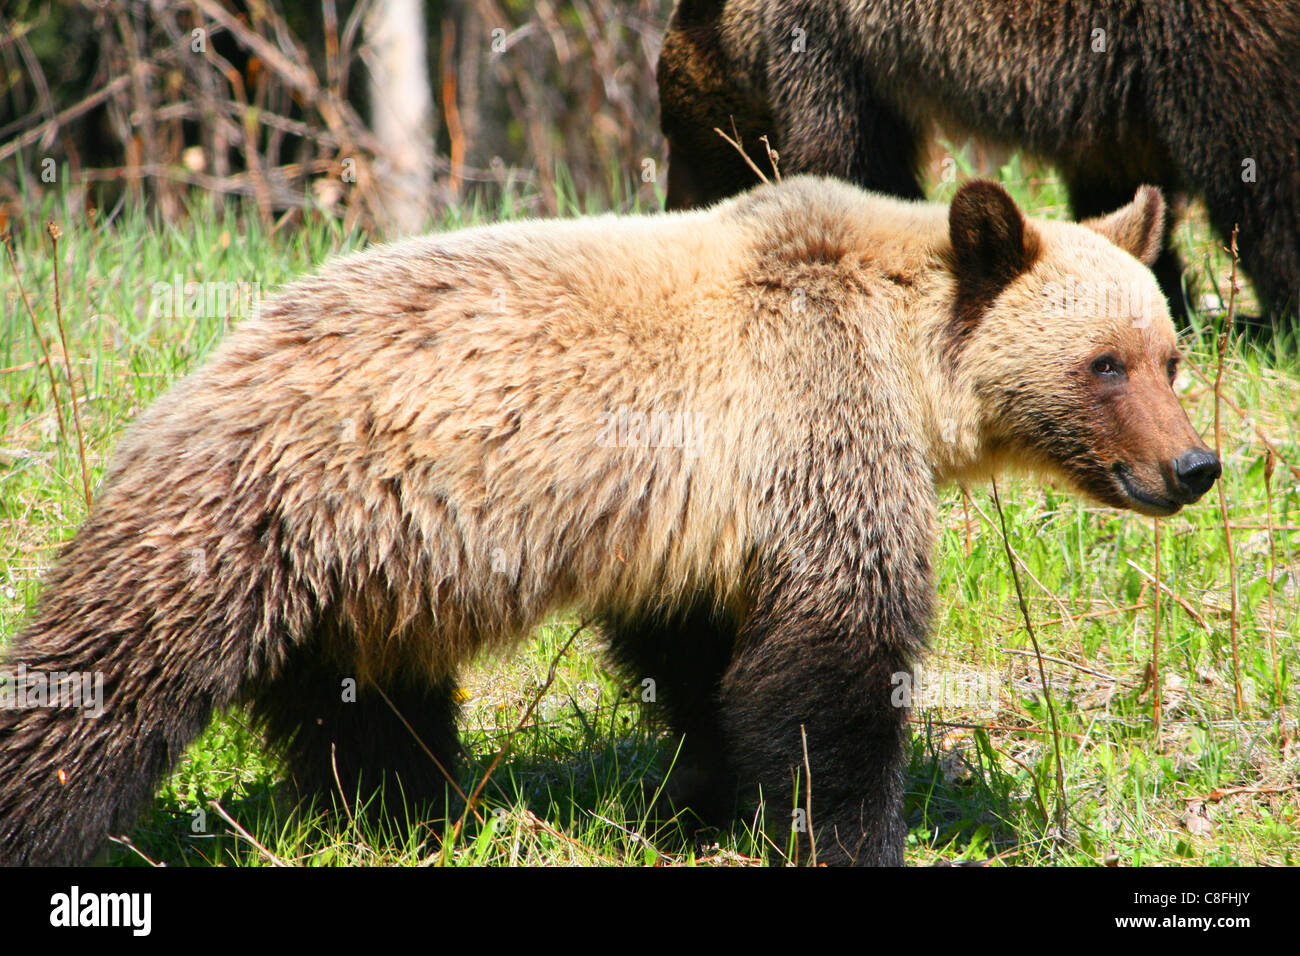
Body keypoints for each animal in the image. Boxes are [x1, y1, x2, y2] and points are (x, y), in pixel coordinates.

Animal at [0, 176, 1220, 866]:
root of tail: (195, 376)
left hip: (363, 574)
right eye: (1103, 364)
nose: (1192, 466)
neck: (906, 351)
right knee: (99, 692)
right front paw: (853, 831)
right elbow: (834, 666)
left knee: (367, 707)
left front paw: (707, 799)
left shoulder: (707, 514)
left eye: (1167, 355)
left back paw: (404, 817)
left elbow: (706, 656)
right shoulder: (815, 422)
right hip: (252, 518)